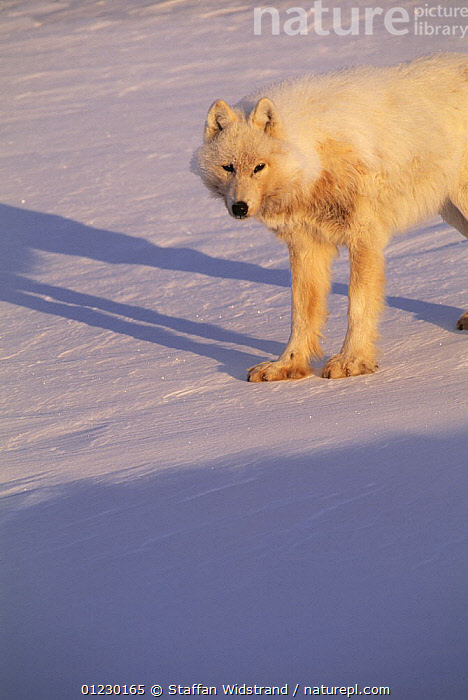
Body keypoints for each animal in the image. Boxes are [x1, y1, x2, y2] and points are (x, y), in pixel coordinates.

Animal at [197, 53, 468, 382]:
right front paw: (287, 365)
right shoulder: (305, 245)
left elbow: (358, 305)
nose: (239, 208)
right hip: (453, 213)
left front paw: (352, 361)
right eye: (228, 168)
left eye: (259, 167)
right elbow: (301, 314)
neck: (316, 159)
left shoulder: (363, 238)